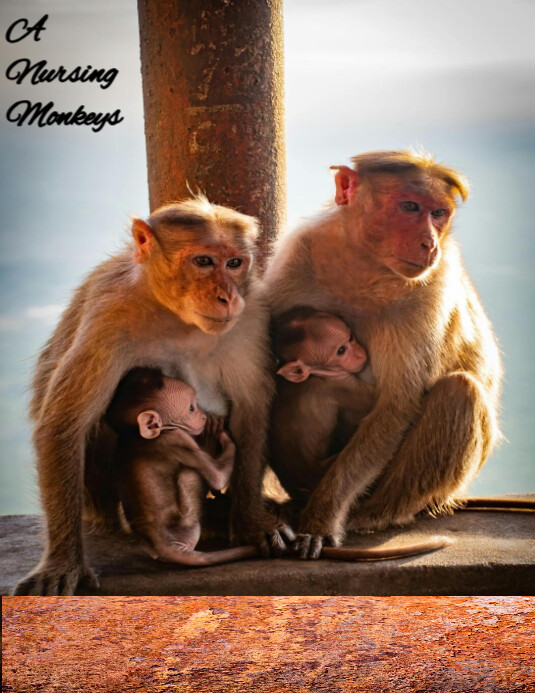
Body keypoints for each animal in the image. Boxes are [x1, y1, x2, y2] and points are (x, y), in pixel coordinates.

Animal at [15, 196, 294, 595]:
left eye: (234, 263)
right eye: (204, 261)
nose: (227, 297)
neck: (175, 314)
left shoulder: (252, 313)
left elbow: (251, 409)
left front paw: (251, 522)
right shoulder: (109, 315)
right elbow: (65, 423)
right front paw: (62, 563)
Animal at [265, 150, 502, 559]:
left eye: (438, 213)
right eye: (409, 207)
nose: (429, 243)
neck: (365, 268)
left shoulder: (428, 293)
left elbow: (397, 404)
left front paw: (320, 520)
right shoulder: (296, 259)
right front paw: (262, 519)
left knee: (459, 392)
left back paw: (372, 515)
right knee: (303, 386)